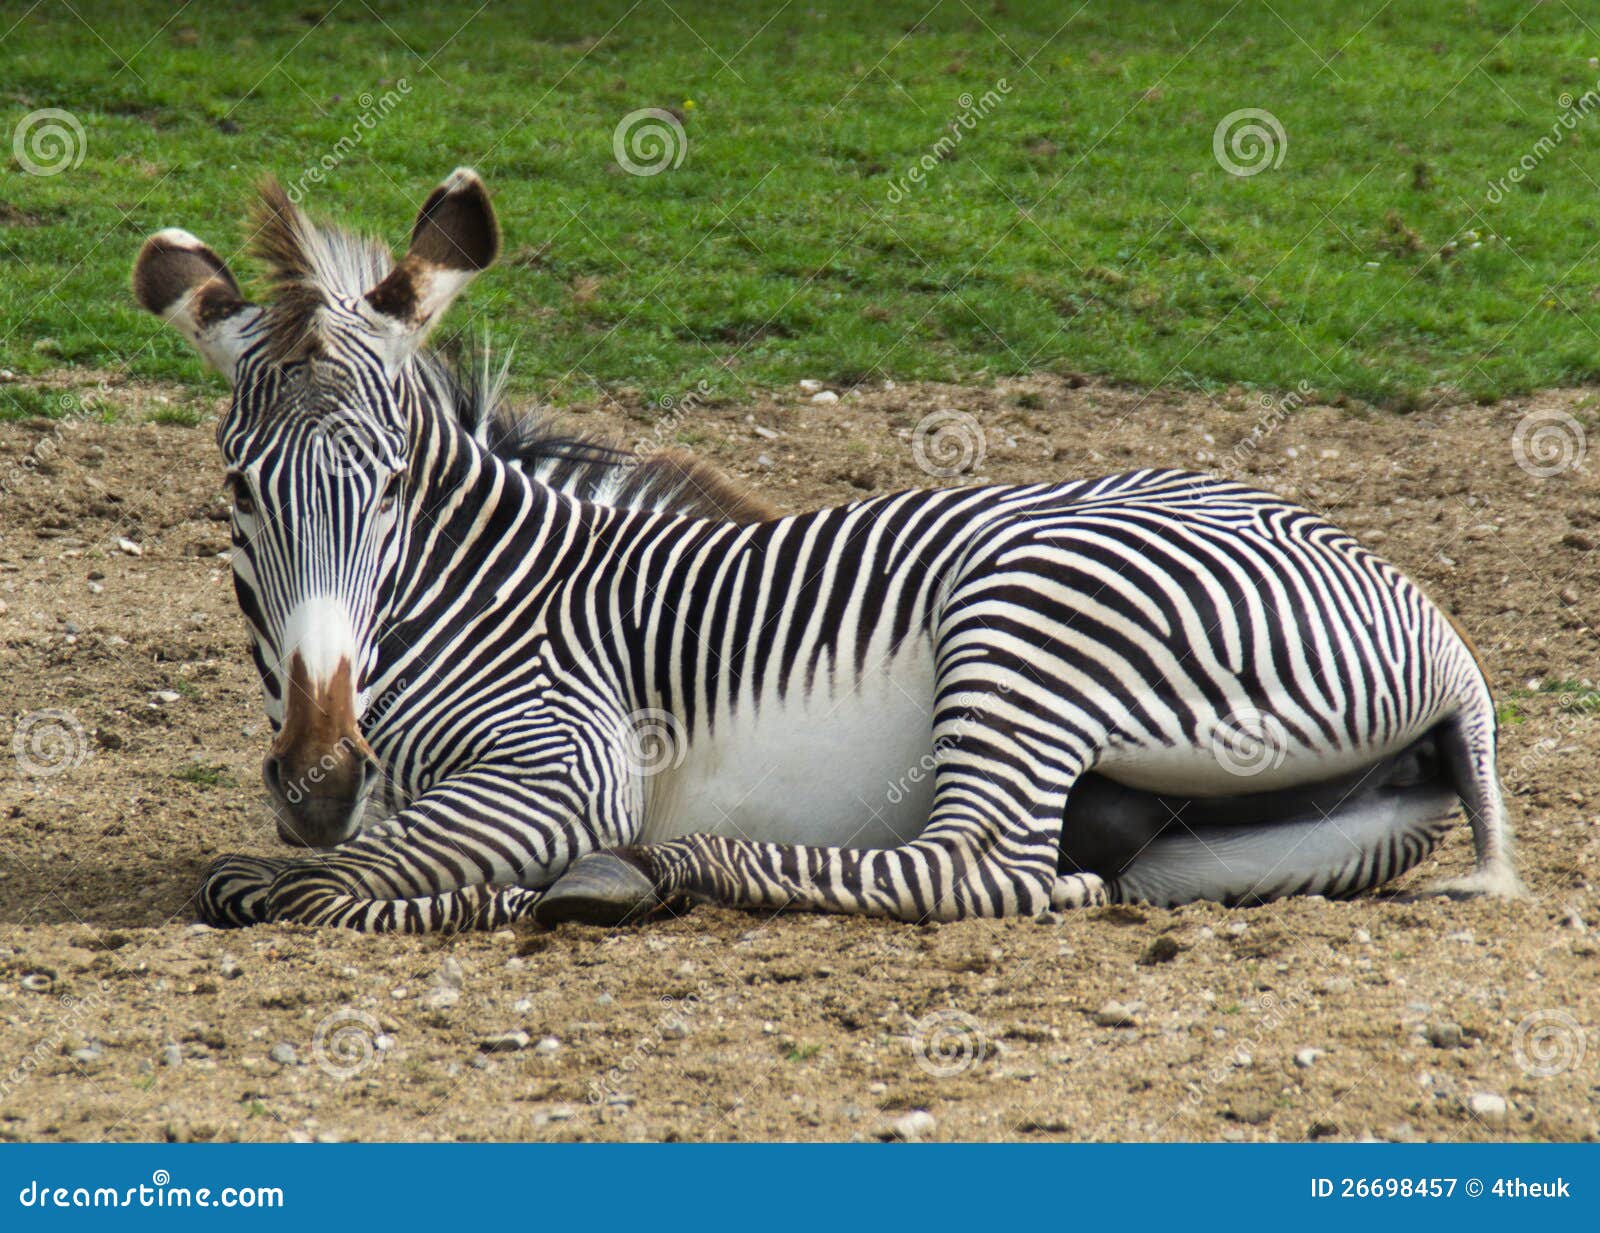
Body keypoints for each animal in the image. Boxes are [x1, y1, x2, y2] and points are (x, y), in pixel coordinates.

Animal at [132, 168, 1522, 932]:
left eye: (388, 490)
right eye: (237, 489)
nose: (317, 774)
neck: (487, 599)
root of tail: (1440, 640)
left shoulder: (568, 761)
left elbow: (278, 885)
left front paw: (502, 893)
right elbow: (281, 873)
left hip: (1026, 613)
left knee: (982, 864)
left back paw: (649, 871)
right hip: (1249, 831)